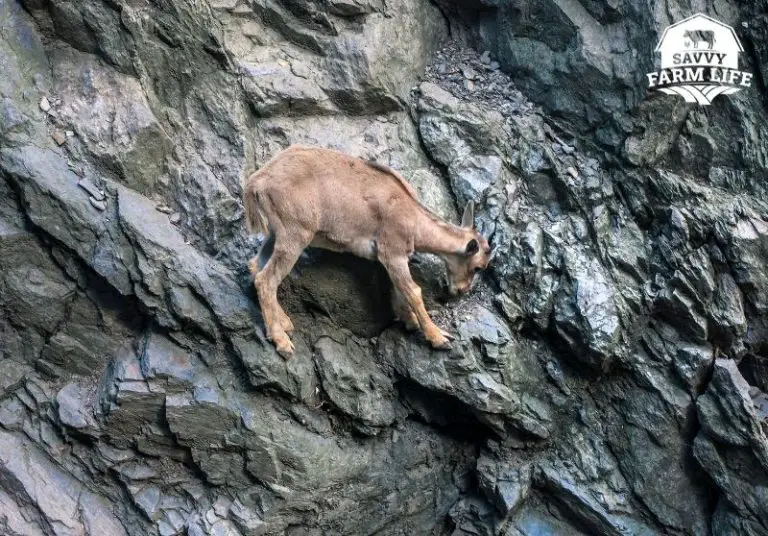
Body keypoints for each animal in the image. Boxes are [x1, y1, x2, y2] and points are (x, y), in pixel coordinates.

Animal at [243, 145, 493, 357]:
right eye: (479, 266)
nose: (461, 290)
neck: (412, 217)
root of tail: (258, 181)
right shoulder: (393, 250)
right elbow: (413, 291)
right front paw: (438, 337)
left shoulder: (390, 258)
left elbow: (399, 290)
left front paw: (410, 321)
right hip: (295, 233)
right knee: (267, 279)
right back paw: (281, 341)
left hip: (275, 232)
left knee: (256, 266)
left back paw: (284, 322)